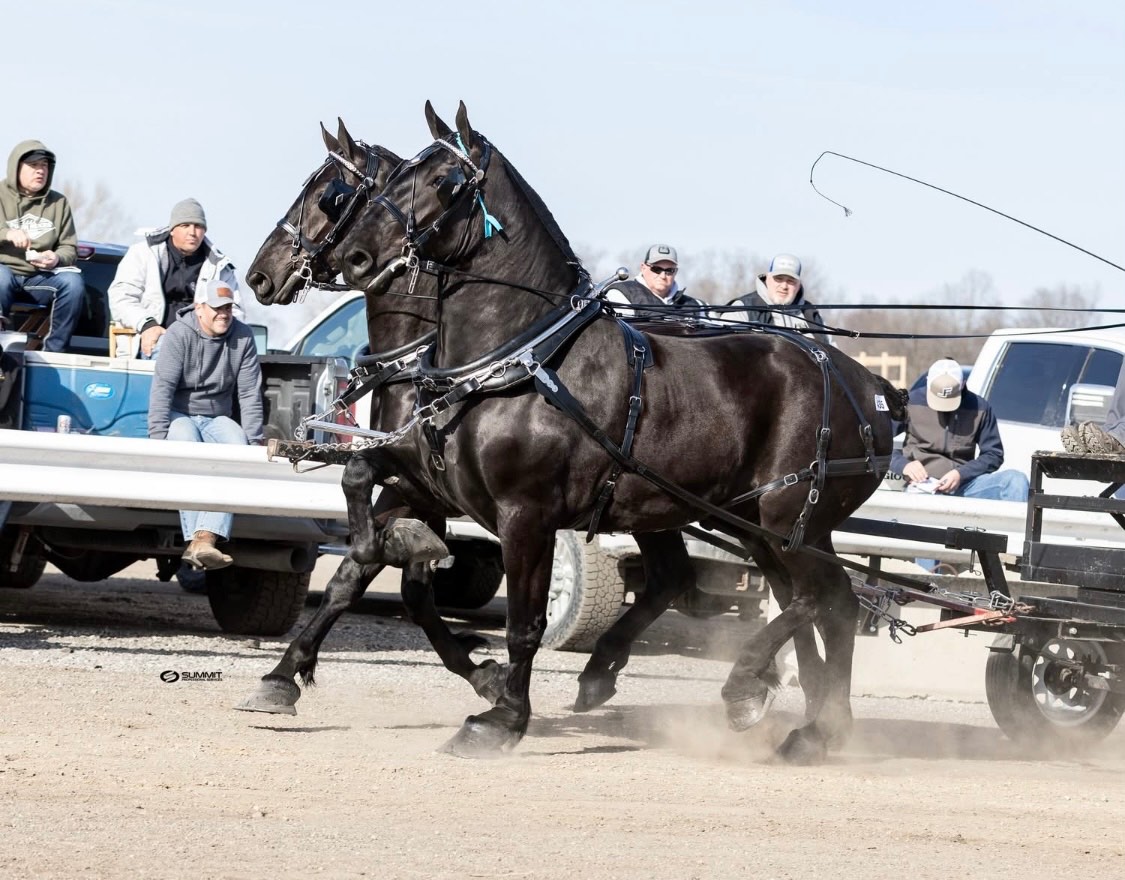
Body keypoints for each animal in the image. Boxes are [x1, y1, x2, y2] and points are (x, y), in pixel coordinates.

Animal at [331, 101, 906, 763]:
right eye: (396, 177)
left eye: (443, 182)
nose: (355, 258)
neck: (522, 360)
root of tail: (867, 383)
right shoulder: (435, 480)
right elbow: (359, 476)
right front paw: (388, 544)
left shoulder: (527, 515)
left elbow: (525, 625)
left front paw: (502, 718)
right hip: (755, 522)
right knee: (816, 603)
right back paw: (812, 723)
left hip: (792, 519)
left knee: (829, 598)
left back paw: (759, 692)